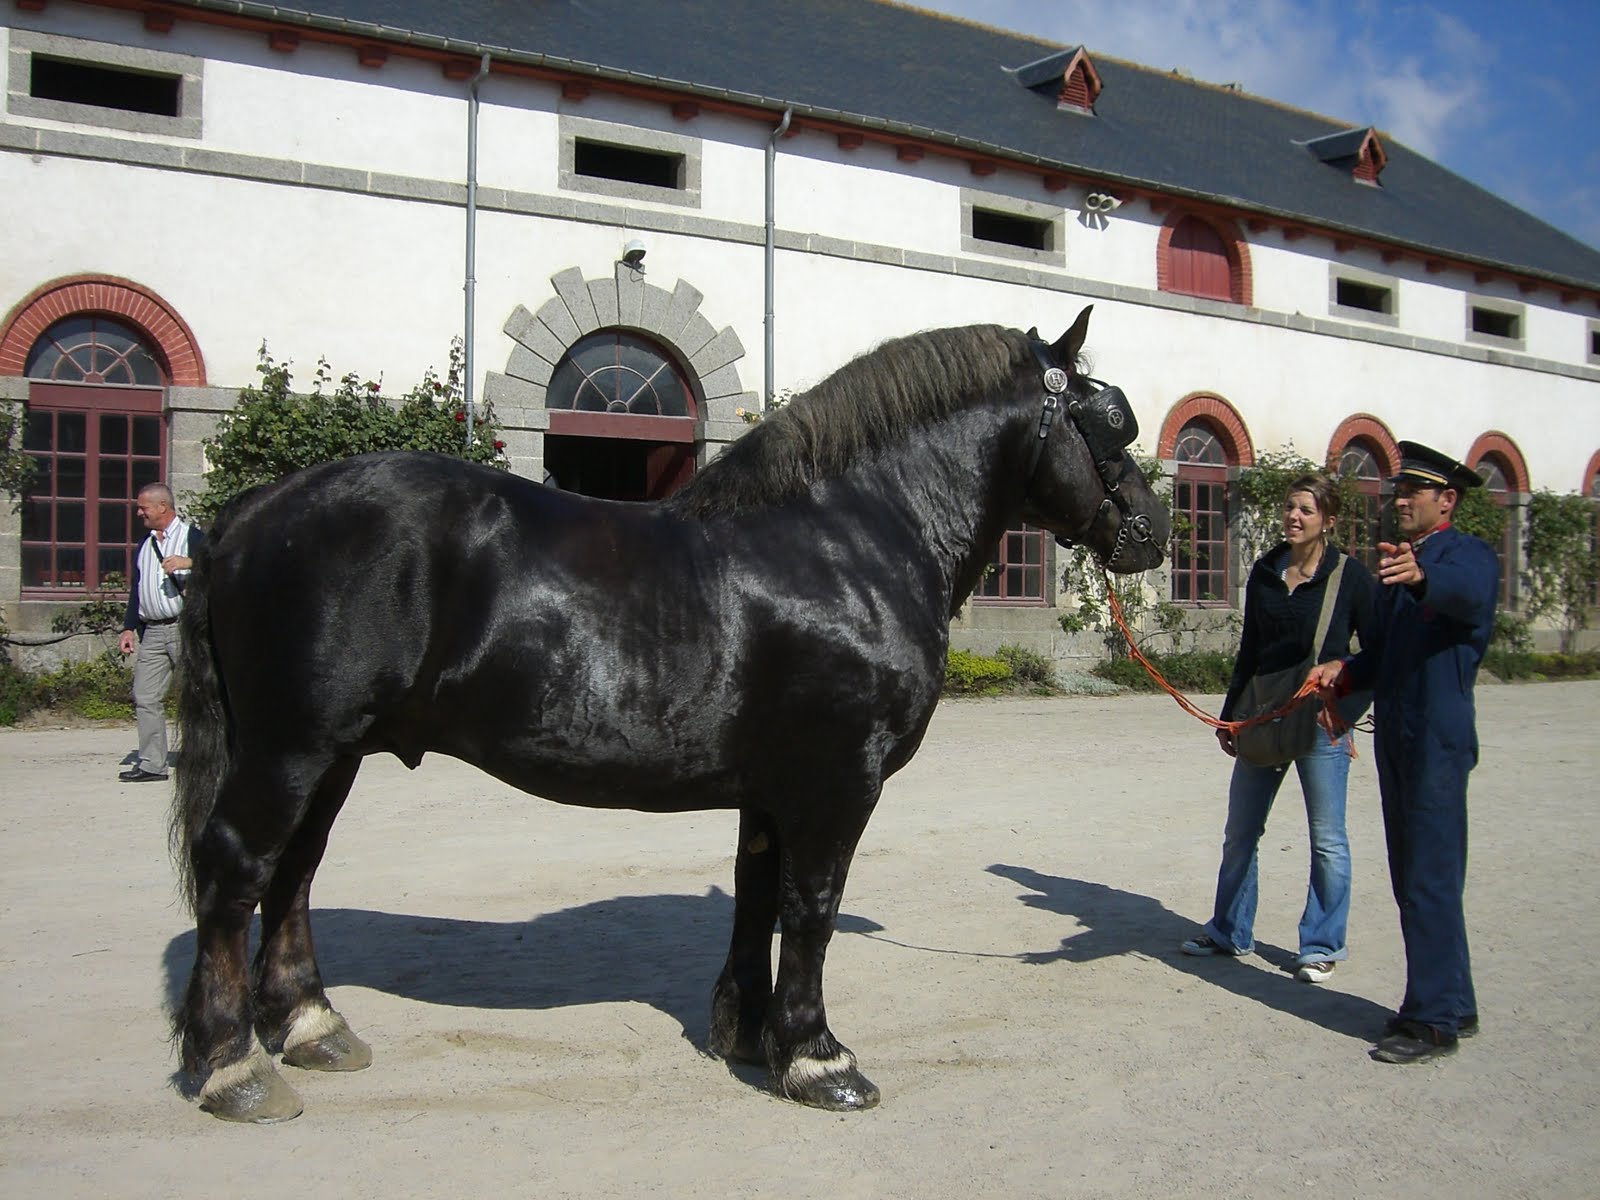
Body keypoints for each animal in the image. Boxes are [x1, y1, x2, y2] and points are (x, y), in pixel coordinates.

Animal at [170, 306, 1169, 1123]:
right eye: (1109, 420)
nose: (1155, 532)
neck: (847, 542)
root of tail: (251, 511)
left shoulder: (771, 790)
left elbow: (759, 896)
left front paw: (750, 1036)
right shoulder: (837, 782)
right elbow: (813, 906)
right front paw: (818, 1059)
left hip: (331, 755)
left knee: (293, 872)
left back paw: (310, 1027)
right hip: (290, 749)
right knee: (236, 870)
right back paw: (233, 1068)